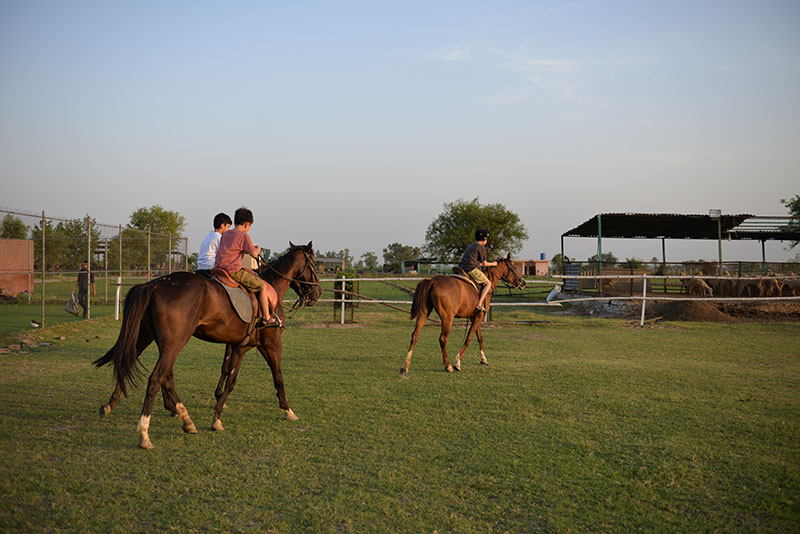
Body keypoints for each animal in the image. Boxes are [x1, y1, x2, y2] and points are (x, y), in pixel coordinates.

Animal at [94, 242, 321, 449]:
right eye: (314, 263)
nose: (317, 293)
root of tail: (154, 285)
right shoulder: (271, 344)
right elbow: (277, 377)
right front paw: (287, 410)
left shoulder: (238, 347)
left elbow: (230, 377)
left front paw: (217, 413)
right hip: (174, 343)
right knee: (156, 378)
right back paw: (145, 433)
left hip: (152, 339)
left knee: (149, 369)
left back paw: (180, 418)